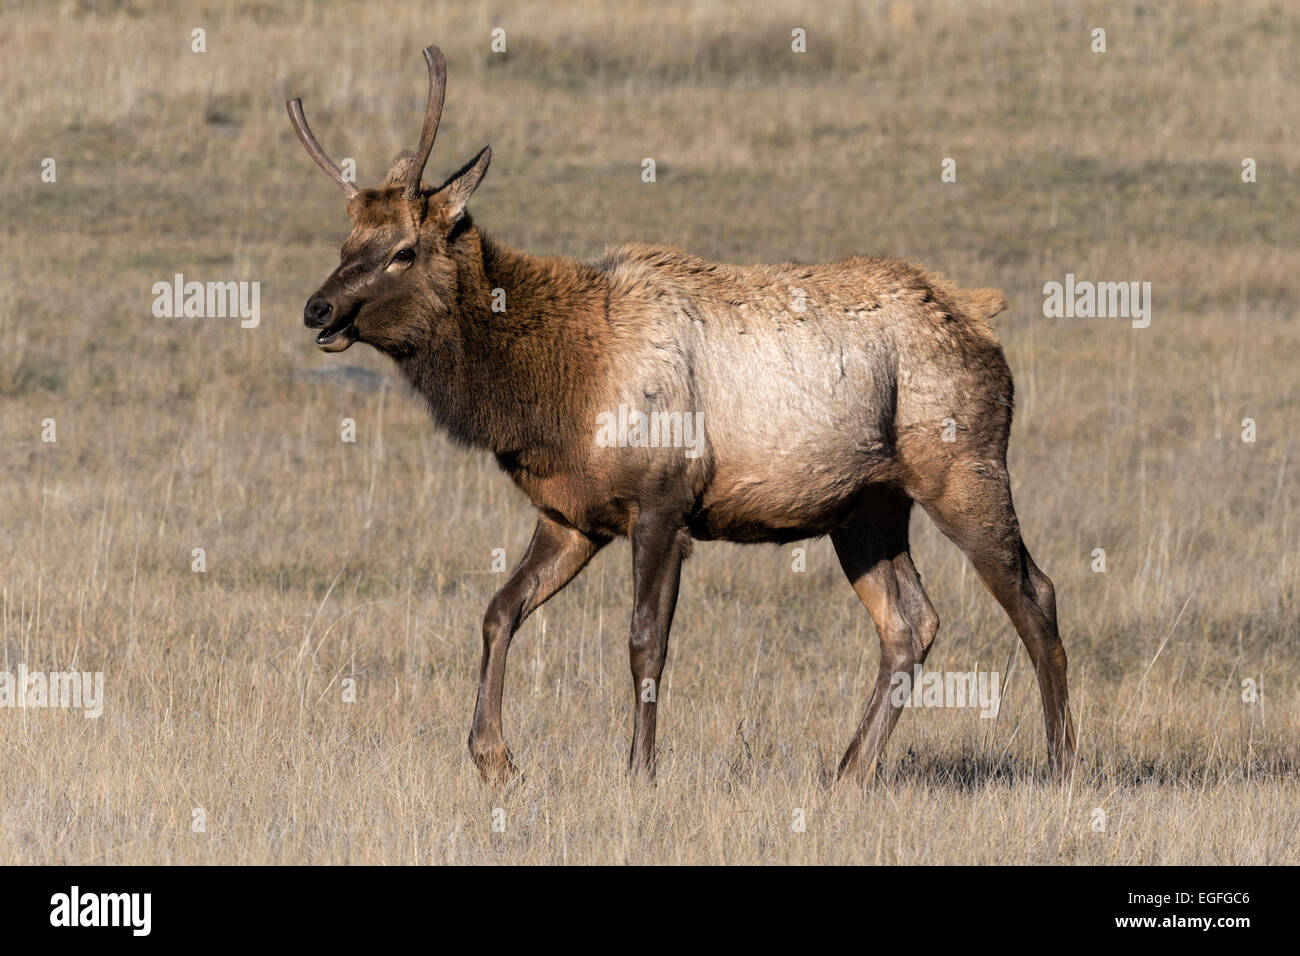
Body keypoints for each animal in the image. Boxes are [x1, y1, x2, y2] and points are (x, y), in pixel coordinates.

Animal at [287, 44, 1079, 785]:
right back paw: (849, 770)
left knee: (1033, 593)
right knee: (911, 621)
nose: (316, 308)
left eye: (402, 250)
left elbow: (645, 641)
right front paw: (493, 757)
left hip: (963, 464)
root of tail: (982, 317)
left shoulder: (664, 499)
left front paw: (638, 768)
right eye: (345, 243)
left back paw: (1062, 764)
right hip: (868, 506)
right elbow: (498, 609)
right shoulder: (572, 513)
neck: (557, 393)